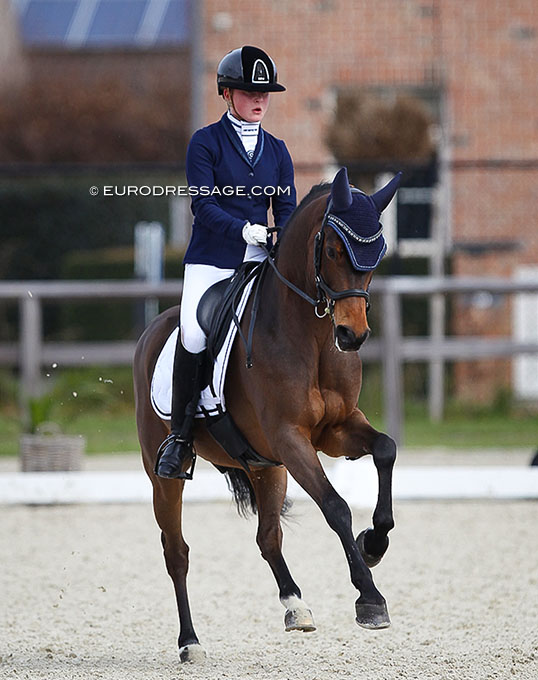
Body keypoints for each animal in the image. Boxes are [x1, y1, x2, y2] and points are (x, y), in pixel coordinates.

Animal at [133, 167, 400, 663]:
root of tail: (152, 330)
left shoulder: (335, 431)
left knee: (267, 537)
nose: (352, 336)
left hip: (265, 466)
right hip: (165, 475)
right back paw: (190, 642)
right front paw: (370, 598)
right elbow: (335, 507)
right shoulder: (291, 439)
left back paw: (297, 608)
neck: (311, 333)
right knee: (176, 552)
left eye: (378, 252)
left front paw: (374, 543)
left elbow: (386, 450)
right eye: (332, 250)